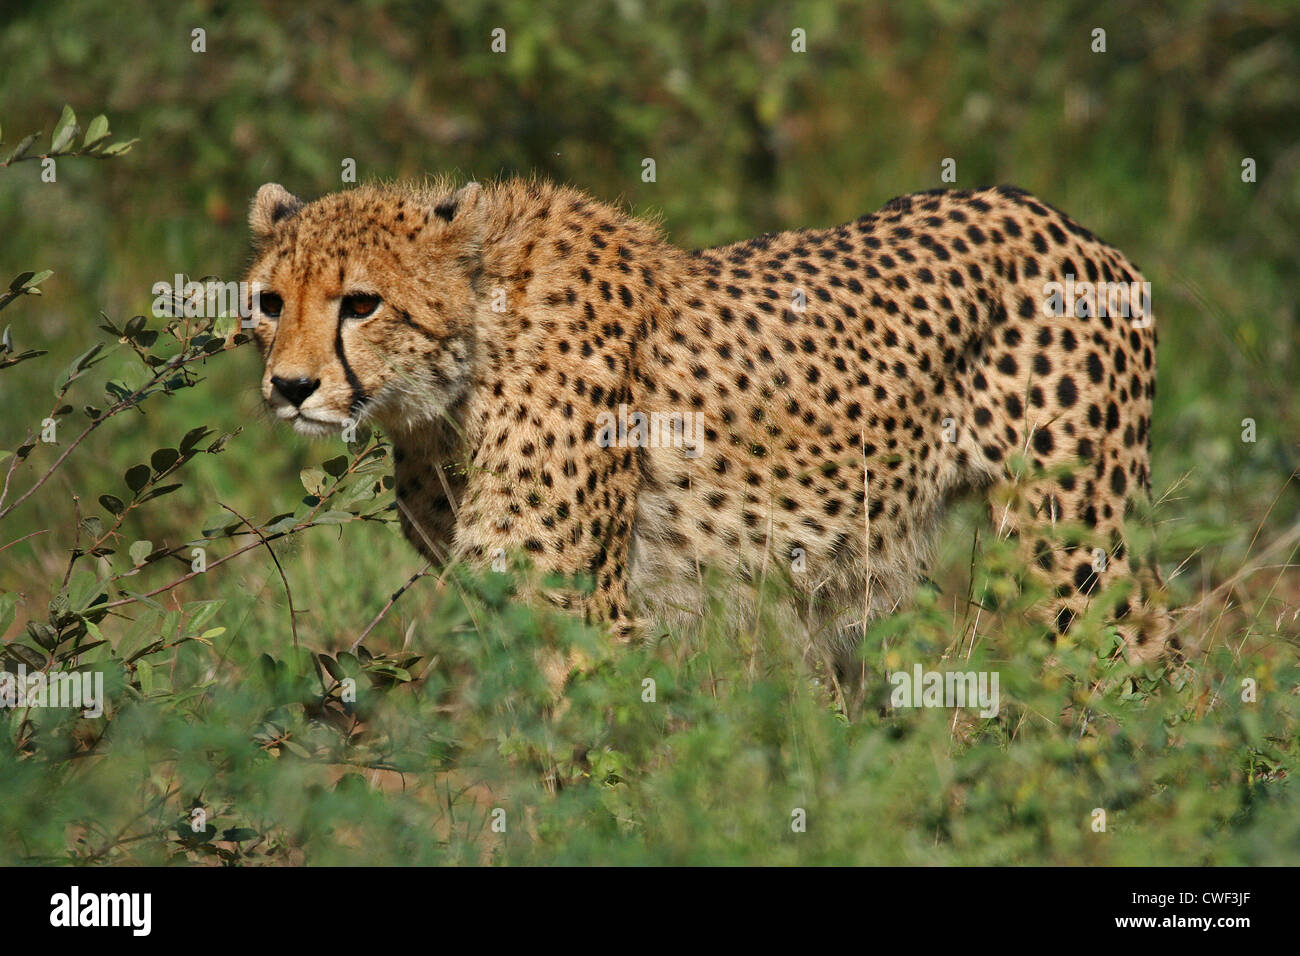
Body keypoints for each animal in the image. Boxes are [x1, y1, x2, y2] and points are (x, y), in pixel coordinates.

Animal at [243, 176, 1175, 684]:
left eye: (361, 302)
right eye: (269, 301)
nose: (290, 387)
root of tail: (1059, 218)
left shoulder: (580, 612)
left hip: (1072, 543)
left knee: (1135, 649)